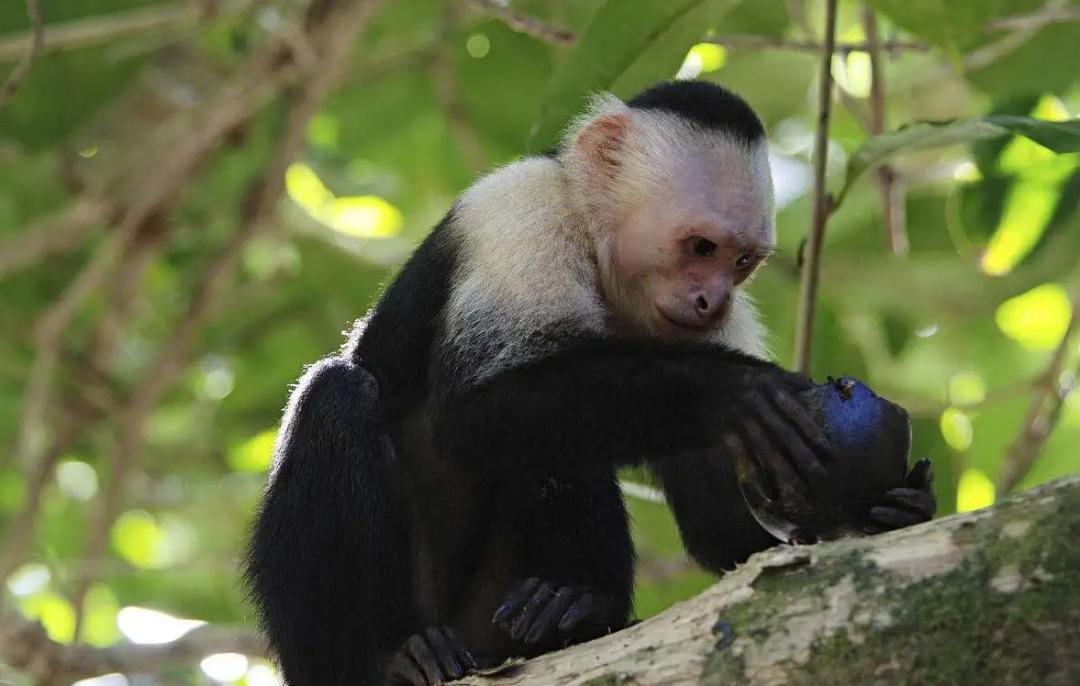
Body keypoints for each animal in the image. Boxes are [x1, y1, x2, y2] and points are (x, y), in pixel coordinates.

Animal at [245, 80, 935, 686]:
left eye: (741, 261)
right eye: (700, 247)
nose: (709, 299)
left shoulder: (726, 324)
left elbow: (723, 528)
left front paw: (901, 509)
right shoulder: (520, 211)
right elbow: (474, 411)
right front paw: (733, 394)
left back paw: (572, 610)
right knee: (342, 398)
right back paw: (396, 654)